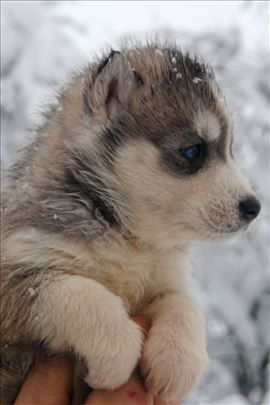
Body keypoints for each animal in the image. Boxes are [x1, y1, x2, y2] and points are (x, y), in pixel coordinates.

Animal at [1, 42, 260, 402]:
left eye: (230, 149)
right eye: (193, 151)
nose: (254, 207)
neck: (127, 238)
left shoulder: (168, 279)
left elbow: (185, 305)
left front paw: (177, 361)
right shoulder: (17, 270)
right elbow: (79, 292)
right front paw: (117, 351)